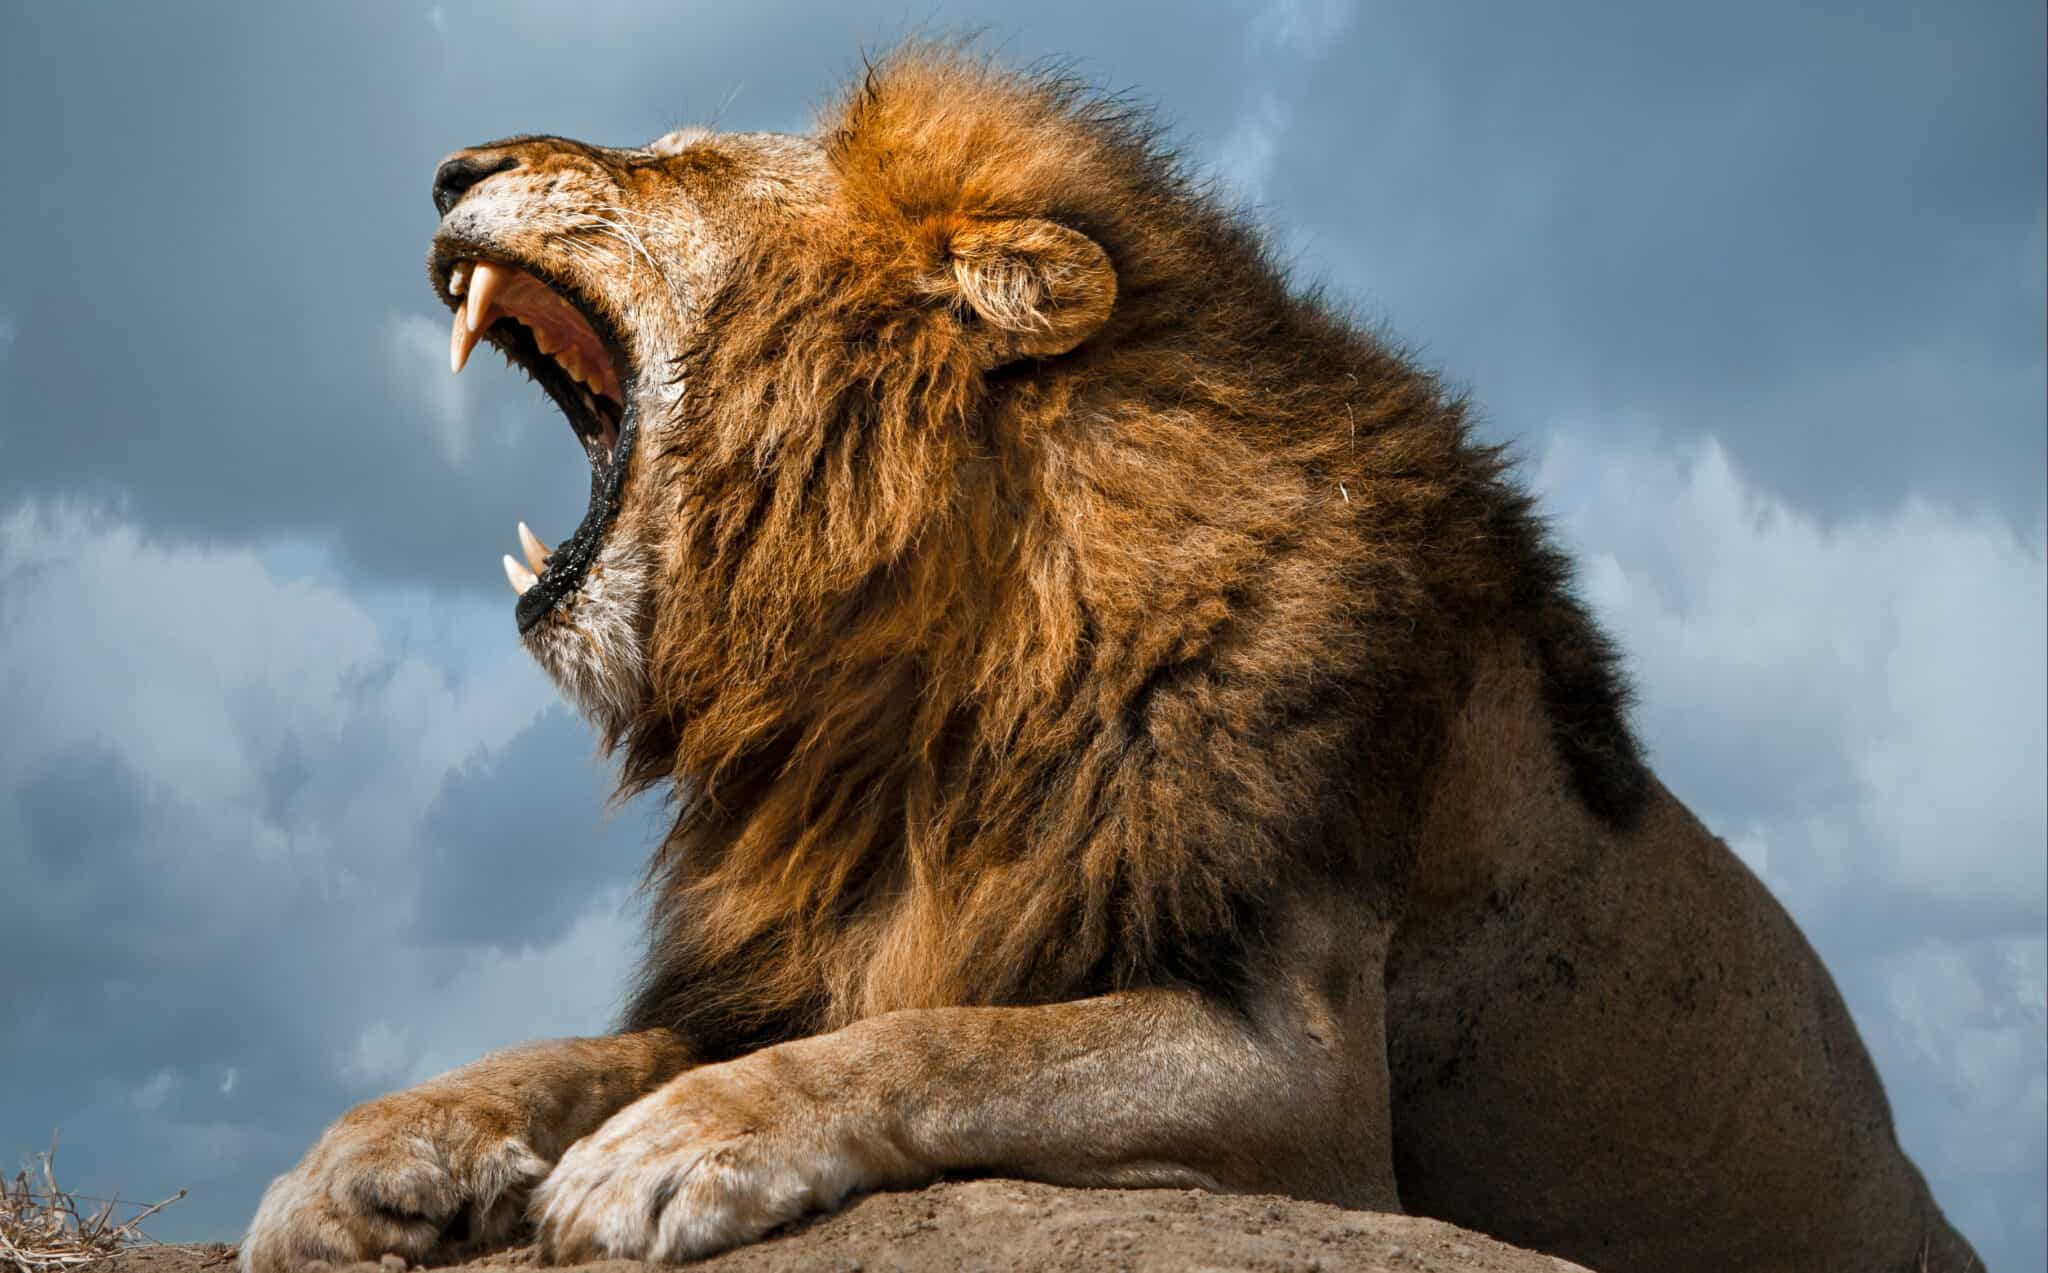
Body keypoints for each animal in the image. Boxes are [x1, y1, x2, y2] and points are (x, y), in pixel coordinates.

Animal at [241, 48, 1982, 1273]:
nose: (451, 167)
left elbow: (948, 1044)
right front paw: (363, 1158)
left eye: (681, 159)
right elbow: (589, 1047)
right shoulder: (832, 937)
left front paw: (674, 1147)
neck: (913, 681)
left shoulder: (1309, 1083)